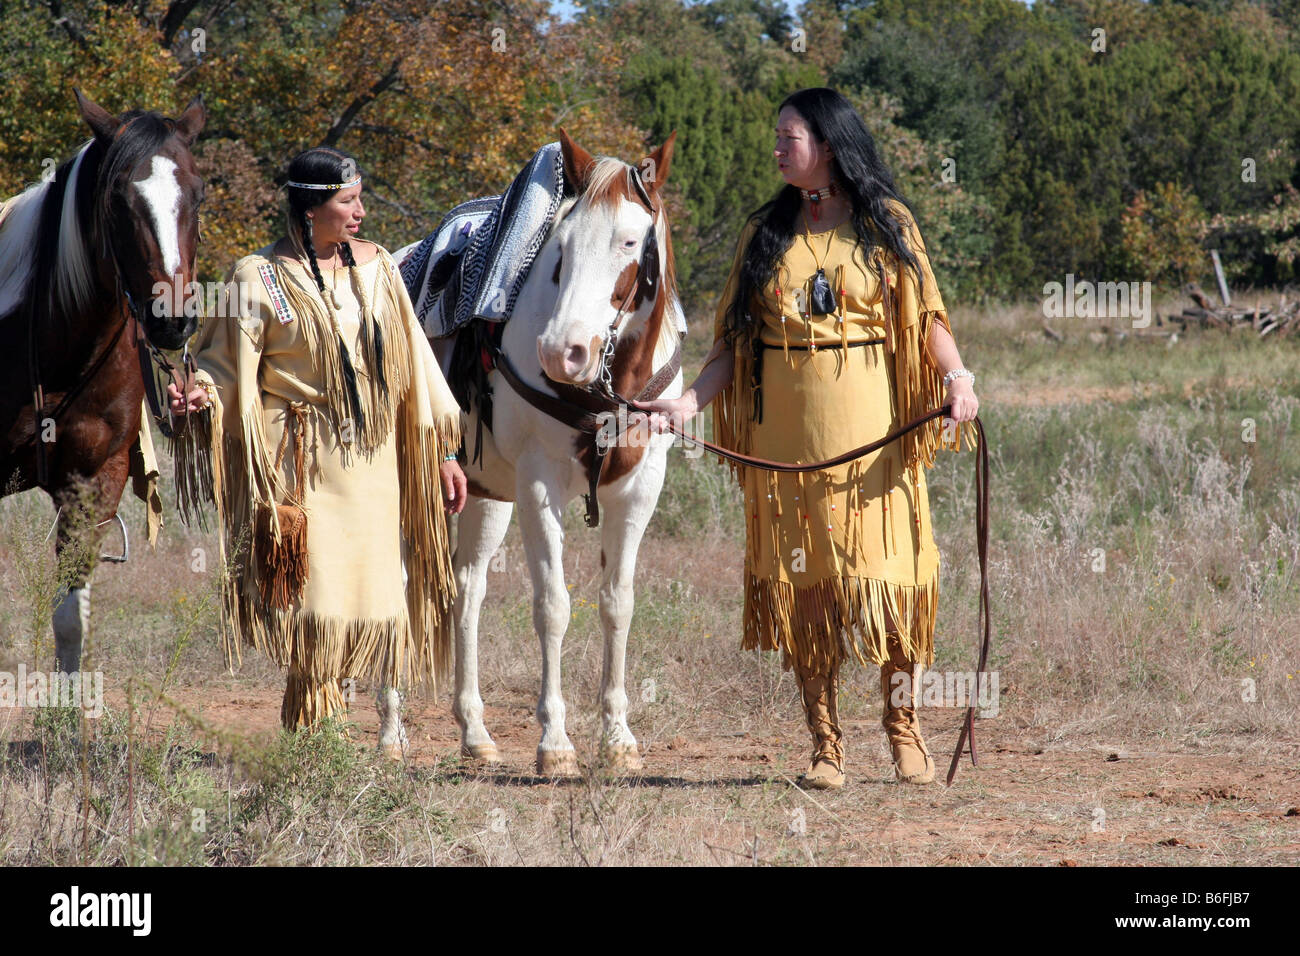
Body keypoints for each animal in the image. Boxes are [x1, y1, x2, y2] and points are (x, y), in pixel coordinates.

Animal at [408, 131, 682, 774]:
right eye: (562, 246)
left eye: (630, 240)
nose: (563, 352)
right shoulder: (540, 486)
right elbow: (553, 606)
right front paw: (555, 743)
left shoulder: (639, 490)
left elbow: (617, 604)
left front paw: (618, 738)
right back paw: (386, 733)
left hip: (484, 497)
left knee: (466, 591)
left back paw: (474, 733)